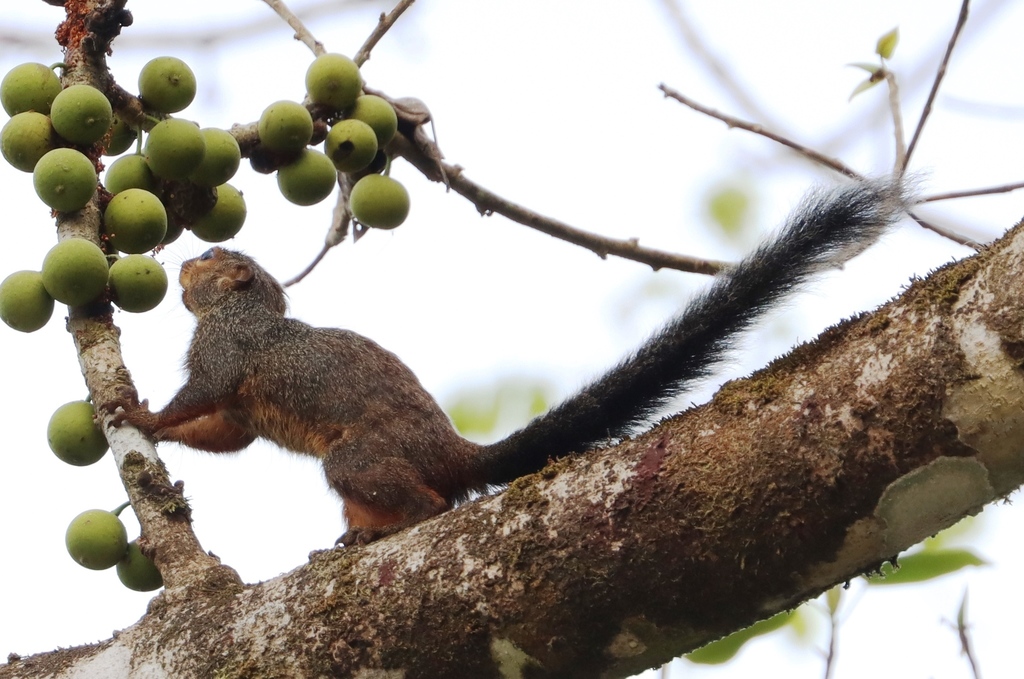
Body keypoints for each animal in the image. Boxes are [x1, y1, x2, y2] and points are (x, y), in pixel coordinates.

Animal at [114, 178, 908, 546]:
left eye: (217, 254)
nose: (183, 256)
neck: (241, 312)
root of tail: (456, 453)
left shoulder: (225, 350)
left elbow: (203, 393)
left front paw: (140, 415)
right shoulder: (239, 402)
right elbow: (227, 433)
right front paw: (154, 427)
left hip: (361, 456)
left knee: (427, 502)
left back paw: (399, 522)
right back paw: (361, 533)